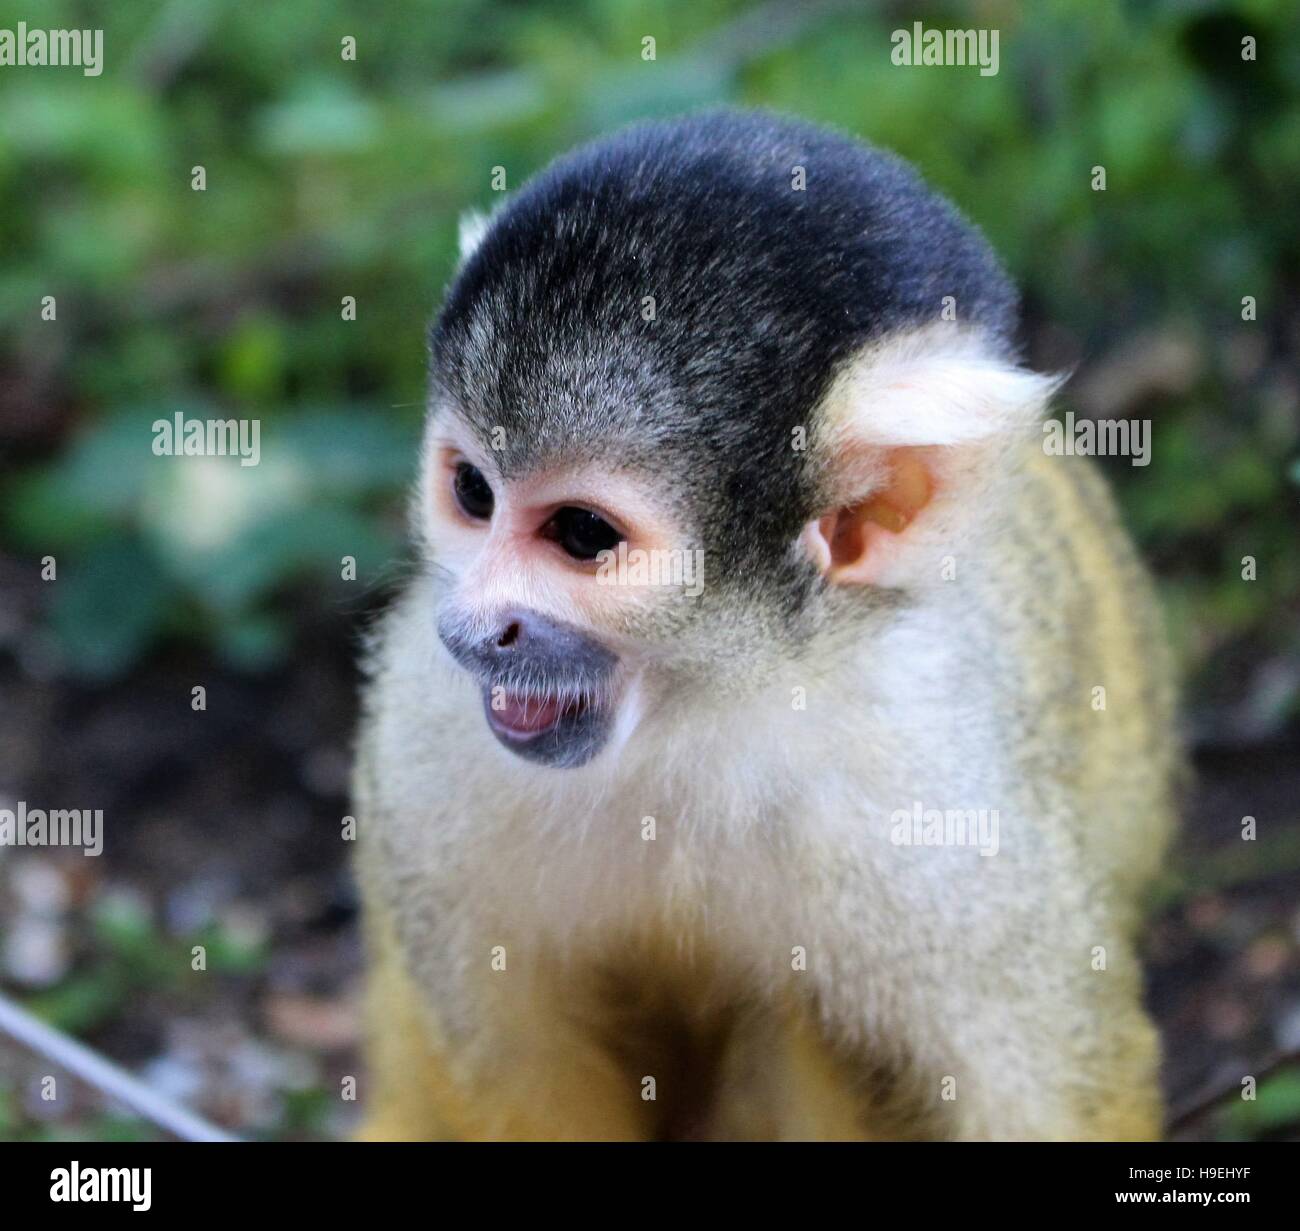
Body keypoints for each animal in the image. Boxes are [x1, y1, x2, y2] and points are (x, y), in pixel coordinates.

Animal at [352, 109, 1180, 1142]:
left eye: (581, 535)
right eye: (472, 491)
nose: (471, 628)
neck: (707, 709)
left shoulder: (938, 796)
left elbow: (1047, 1087)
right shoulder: (428, 732)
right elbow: (512, 1065)